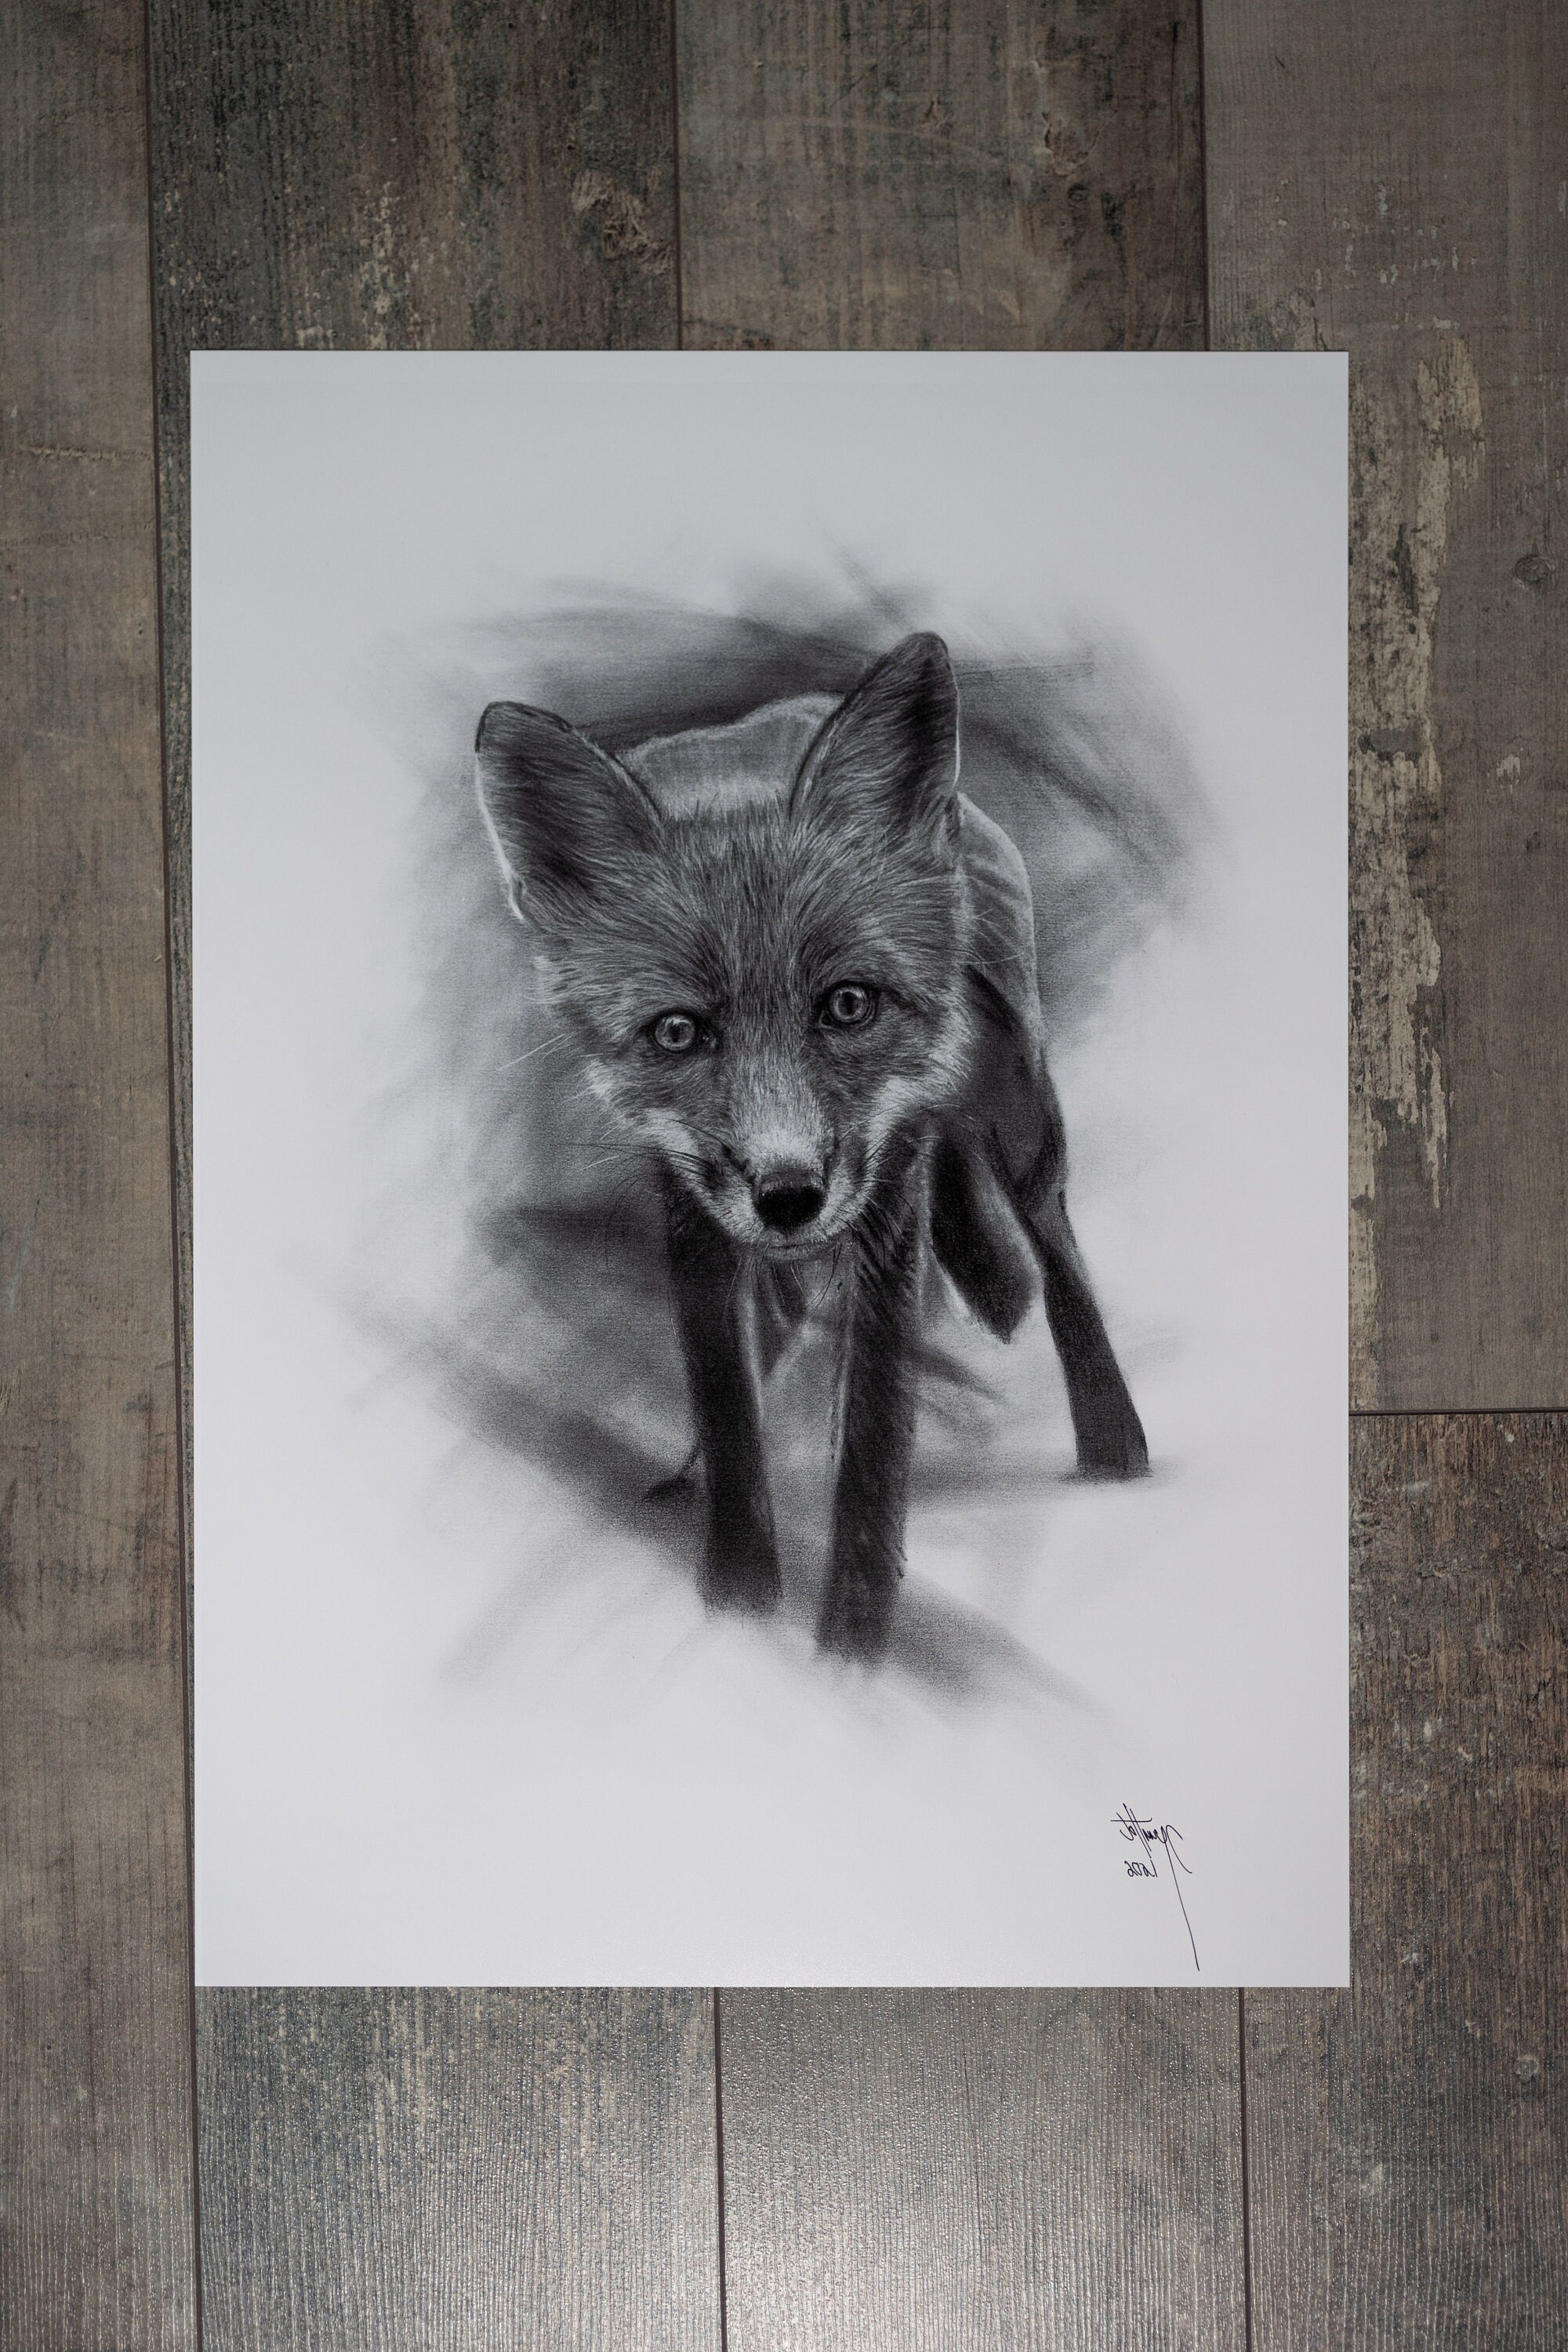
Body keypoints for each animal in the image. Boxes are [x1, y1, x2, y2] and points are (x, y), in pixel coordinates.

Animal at [475, 631, 1147, 1660]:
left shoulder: (889, 1198)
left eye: (847, 1005)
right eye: (677, 1033)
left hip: (1020, 1115)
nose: (789, 1196)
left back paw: (1115, 1447)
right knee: (783, 1319)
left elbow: (872, 1438)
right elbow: (727, 1390)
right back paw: (692, 1470)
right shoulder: (691, 1201)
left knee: (1056, 1247)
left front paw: (850, 1642)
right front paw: (739, 1595)